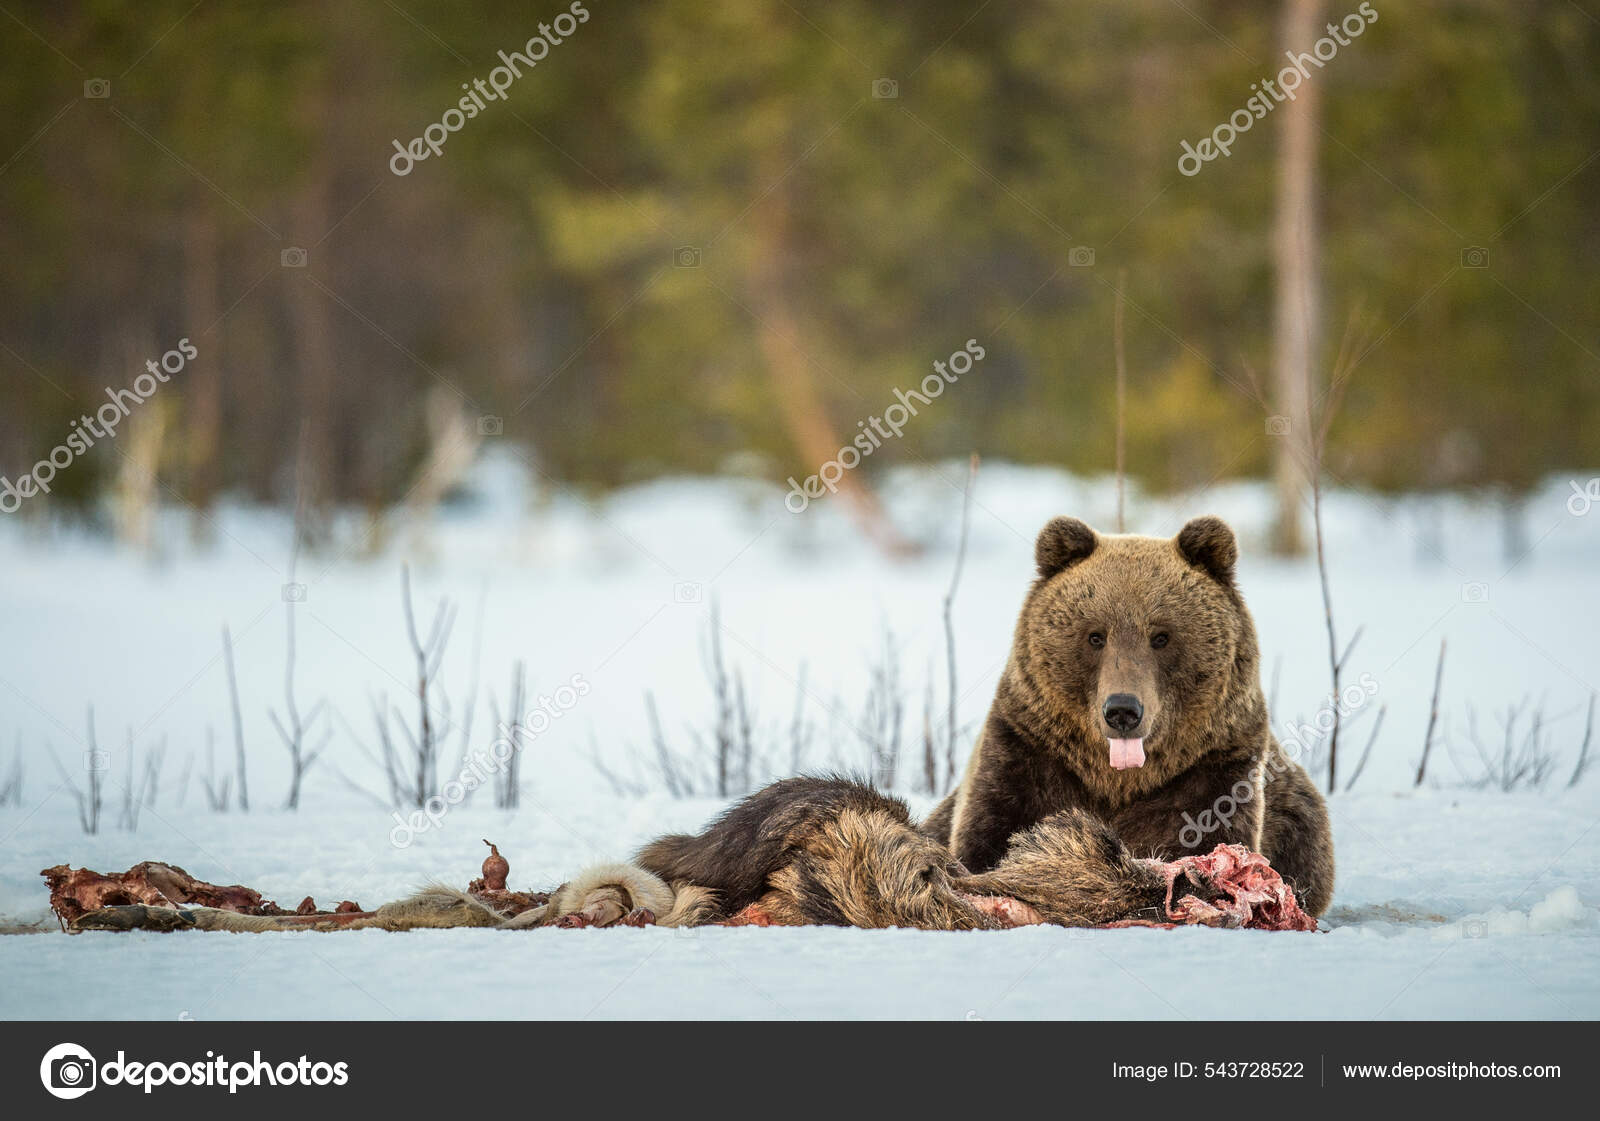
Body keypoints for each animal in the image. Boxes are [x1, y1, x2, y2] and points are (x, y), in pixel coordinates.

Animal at [920, 514, 1335, 917]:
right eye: (1095, 635)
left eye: (1161, 636)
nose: (1122, 710)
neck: (1117, 778)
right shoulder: (1027, 749)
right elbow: (987, 837)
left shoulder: (1214, 767)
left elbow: (1208, 840)